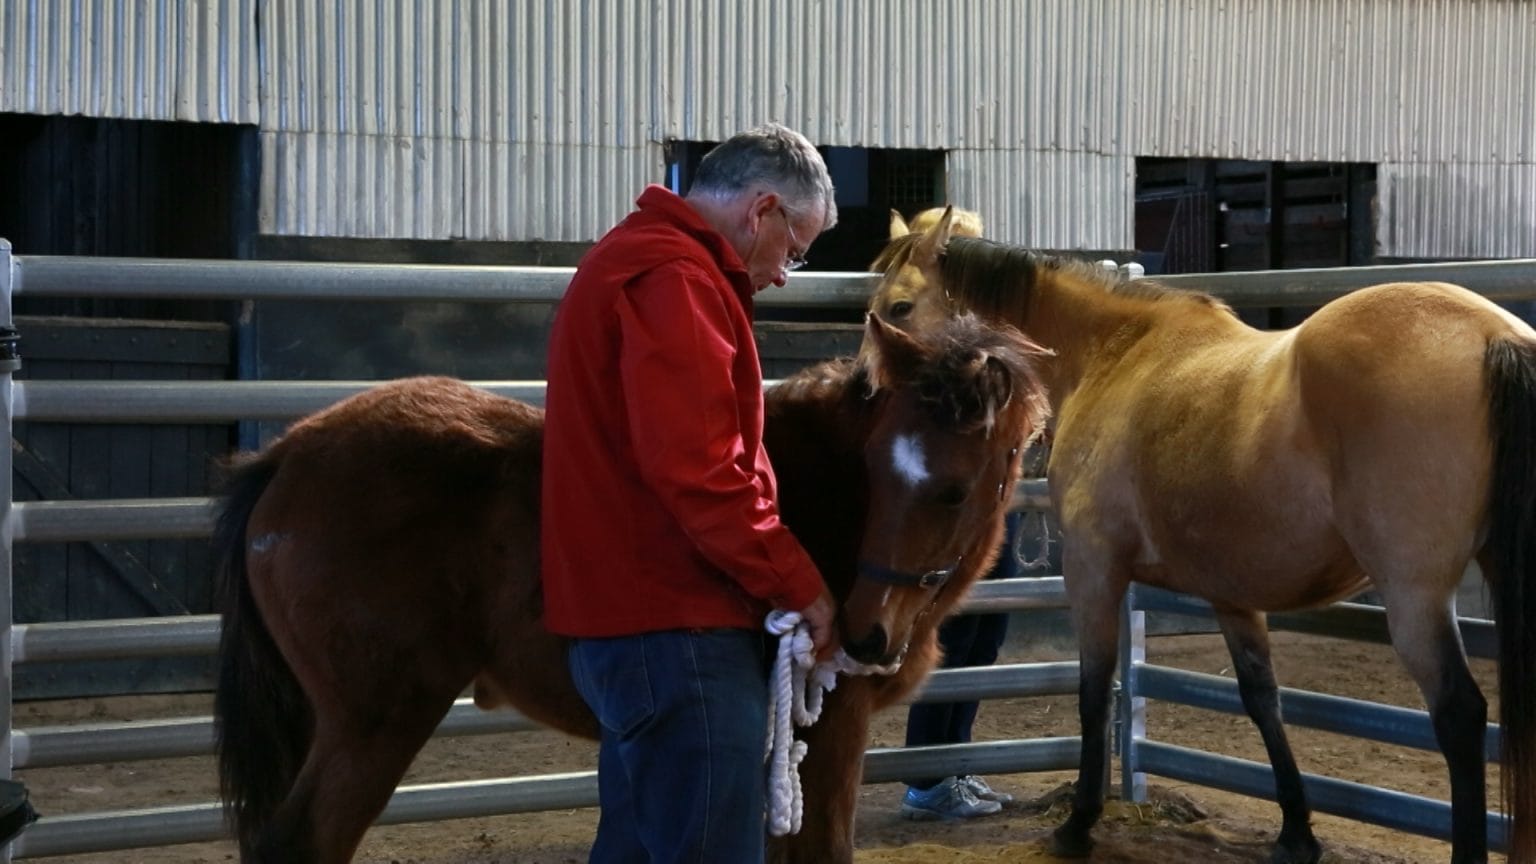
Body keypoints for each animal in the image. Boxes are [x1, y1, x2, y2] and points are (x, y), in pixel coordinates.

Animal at [212, 311, 1049, 864]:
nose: (864, 633)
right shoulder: (829, 733)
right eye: (878, 467)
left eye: (951, 489)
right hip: (375, 722)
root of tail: (284, 458)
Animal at [866, 208, 1536, 864]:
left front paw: (1078, 824)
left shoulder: (1093, 570)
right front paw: (1296, 833)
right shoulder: (1231, 592)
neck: (1114, 352)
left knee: (1459, 715)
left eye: (899, 308)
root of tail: (1491, 335)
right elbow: (1262, 698)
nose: (871, 403)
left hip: (1414, 595)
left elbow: (1094, 694)